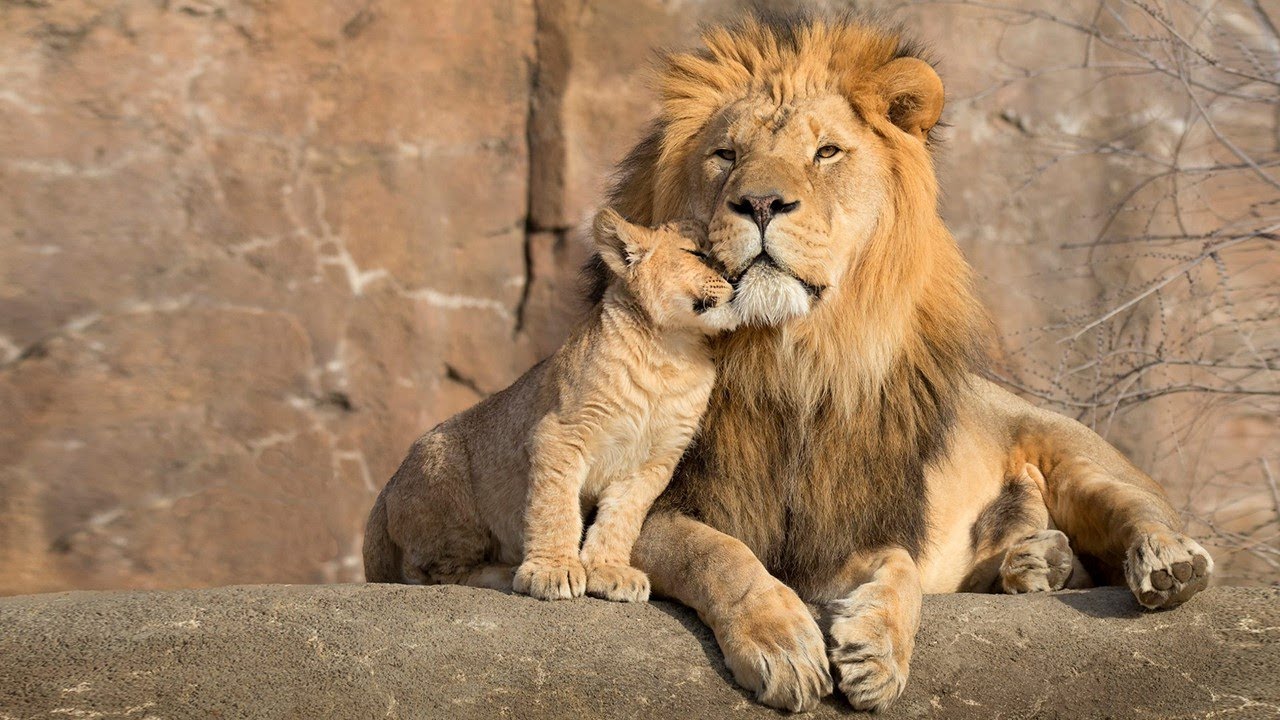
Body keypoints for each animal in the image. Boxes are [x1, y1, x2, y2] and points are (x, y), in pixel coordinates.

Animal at [363, 210, 737, 604]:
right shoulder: (560, 432)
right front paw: (552, 570)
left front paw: (610, 570)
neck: (672, 352)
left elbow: (622, 518)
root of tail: (386, 489)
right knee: (430, 573)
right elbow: (555, 507)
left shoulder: (654, 462)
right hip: (448, 478)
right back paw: (505, 572)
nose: (736, 278)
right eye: (697, 254)